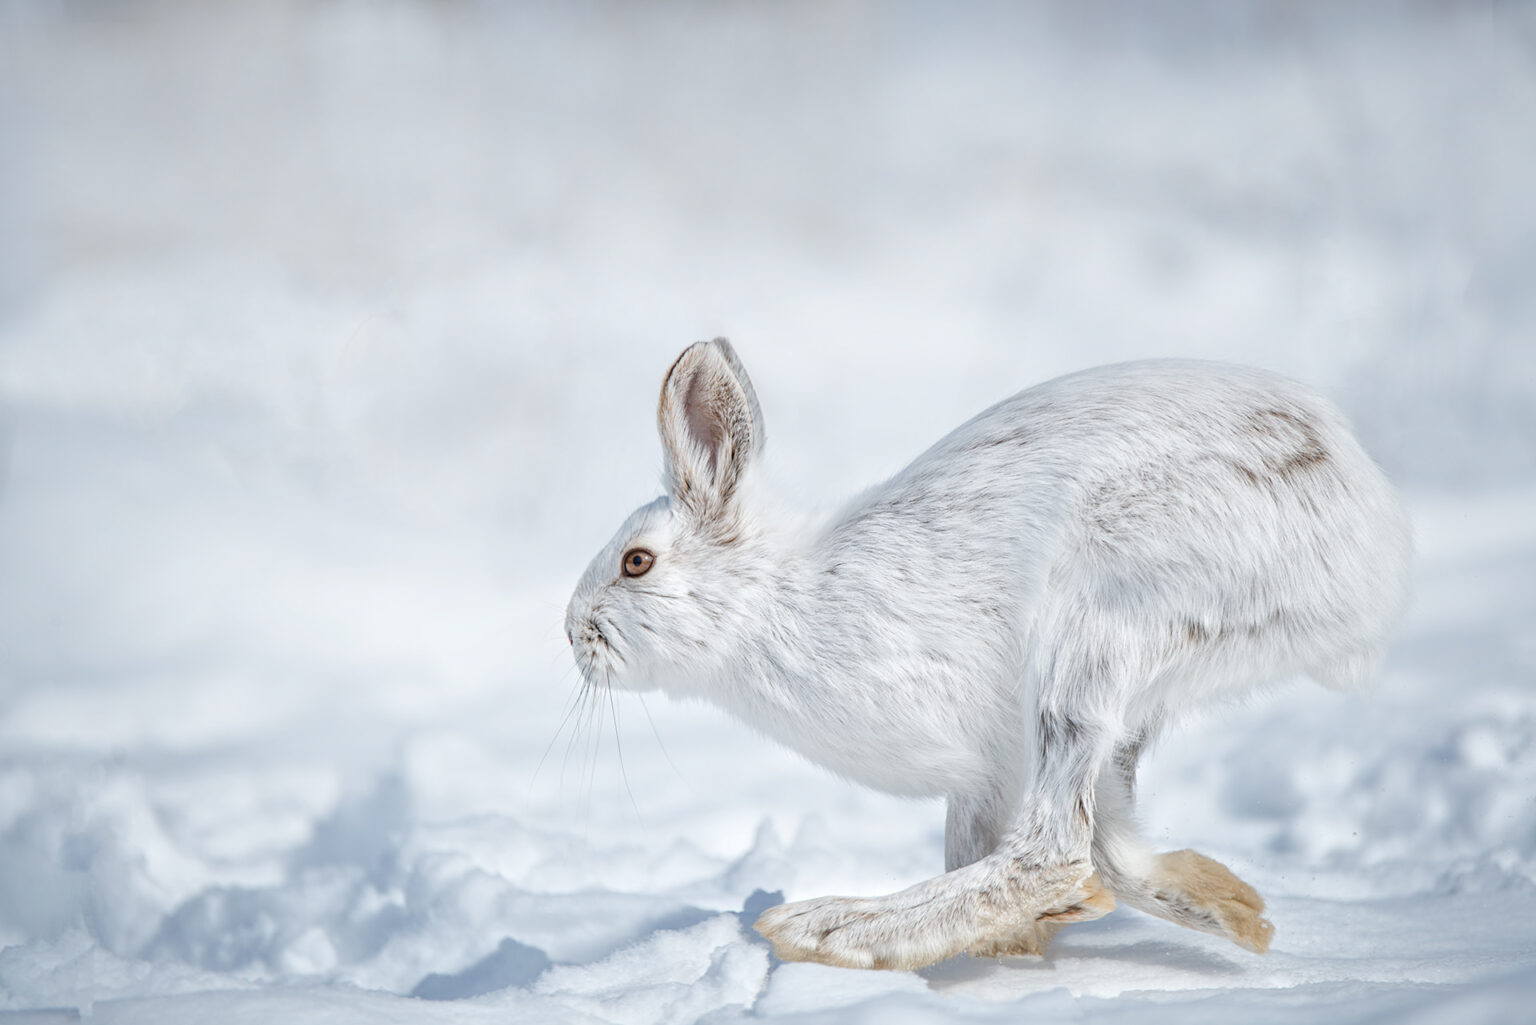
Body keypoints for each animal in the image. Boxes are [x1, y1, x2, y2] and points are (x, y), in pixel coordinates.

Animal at [565, 338, 1412, 971]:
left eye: (635, 563)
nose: (573, 634)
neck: (771, 599)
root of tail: (1369, 545)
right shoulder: (981, 778)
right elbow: (985, 845)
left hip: (1096, 627)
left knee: (1054, 847)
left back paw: (831, 927)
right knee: (1099, 839)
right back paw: (1231, 908)